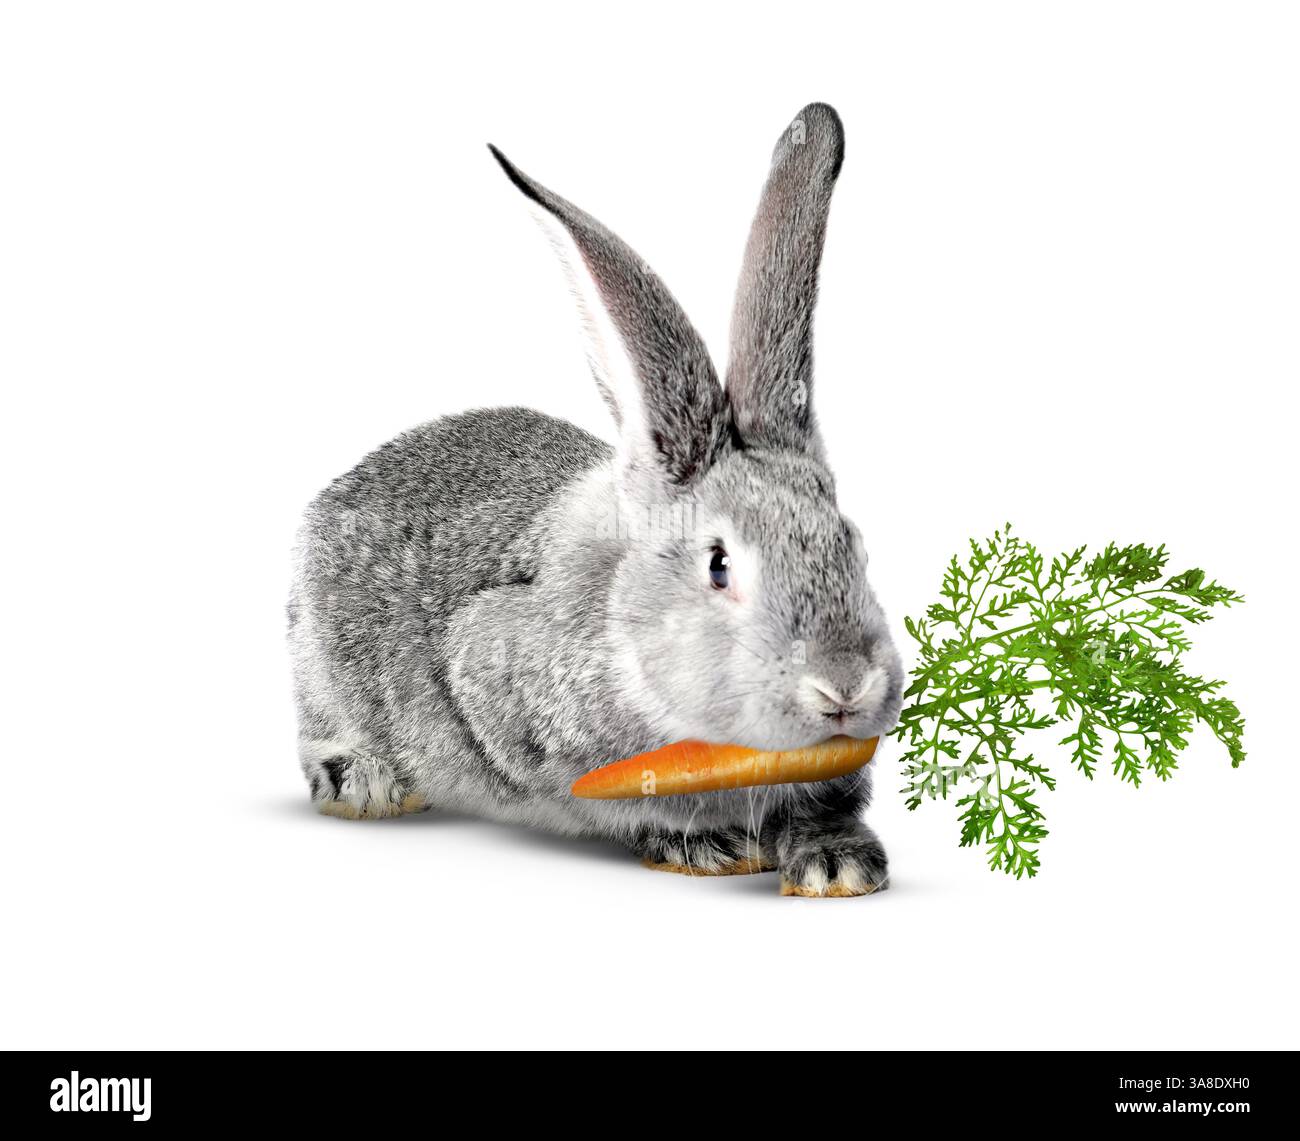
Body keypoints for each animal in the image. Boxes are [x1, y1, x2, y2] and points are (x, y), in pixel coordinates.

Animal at [288, 102, 904, 897]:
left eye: (853, 543)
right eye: (718, 565)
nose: (843, 686)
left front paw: (839, 862)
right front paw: (709, 847)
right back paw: (360, 781)